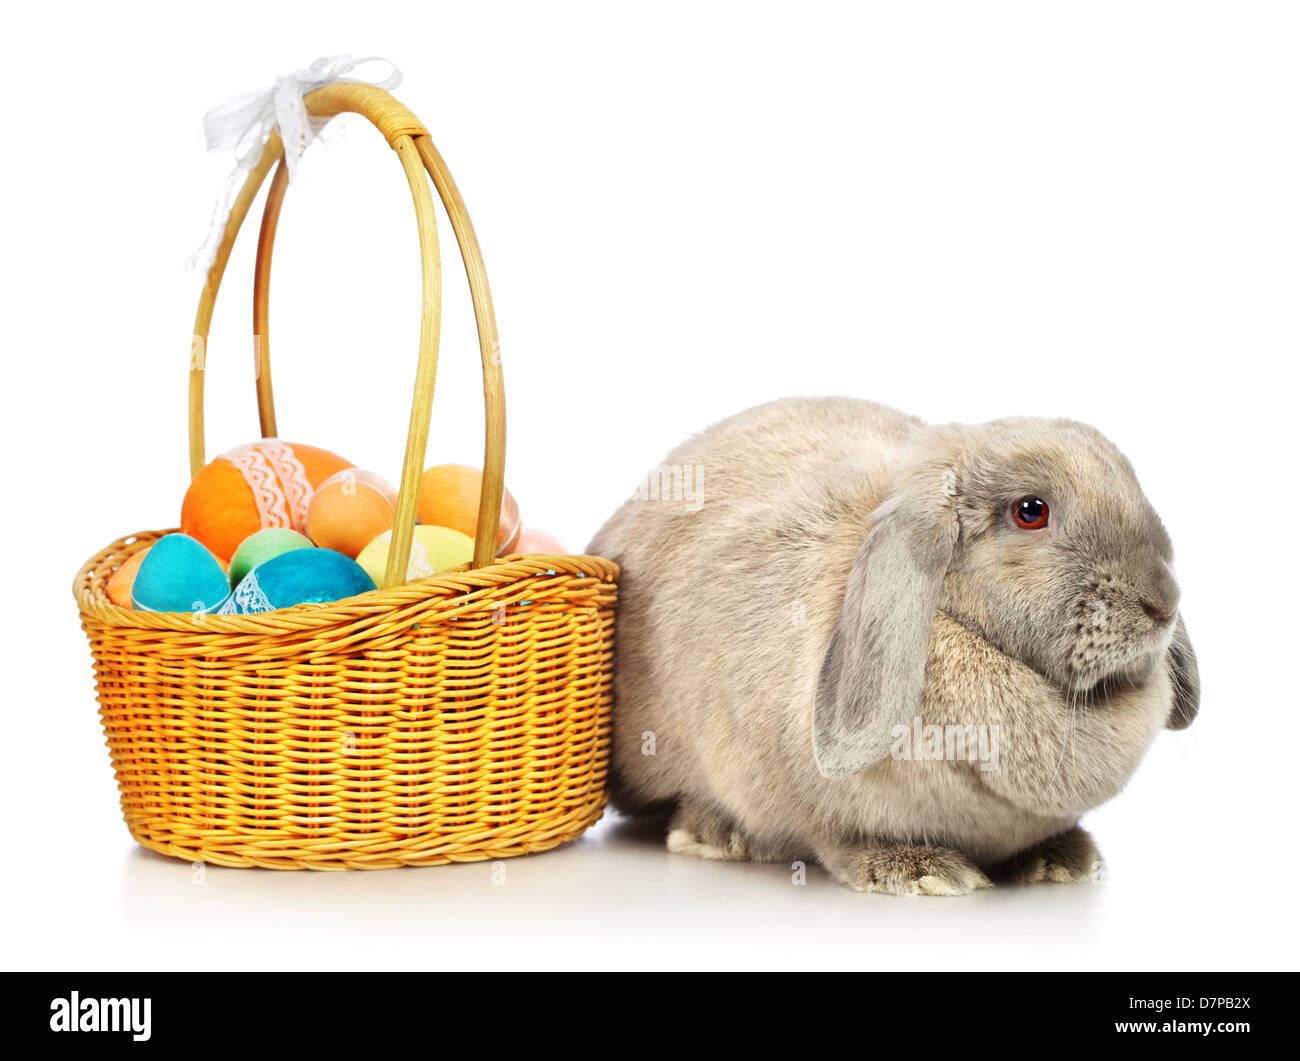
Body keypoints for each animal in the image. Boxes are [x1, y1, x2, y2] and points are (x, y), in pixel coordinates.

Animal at [587, 397, 1199, 895]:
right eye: (1031, 511)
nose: (1162, 605)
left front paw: (1061, 860)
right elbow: (837, 839)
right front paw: (919, 871)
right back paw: (721, 836)